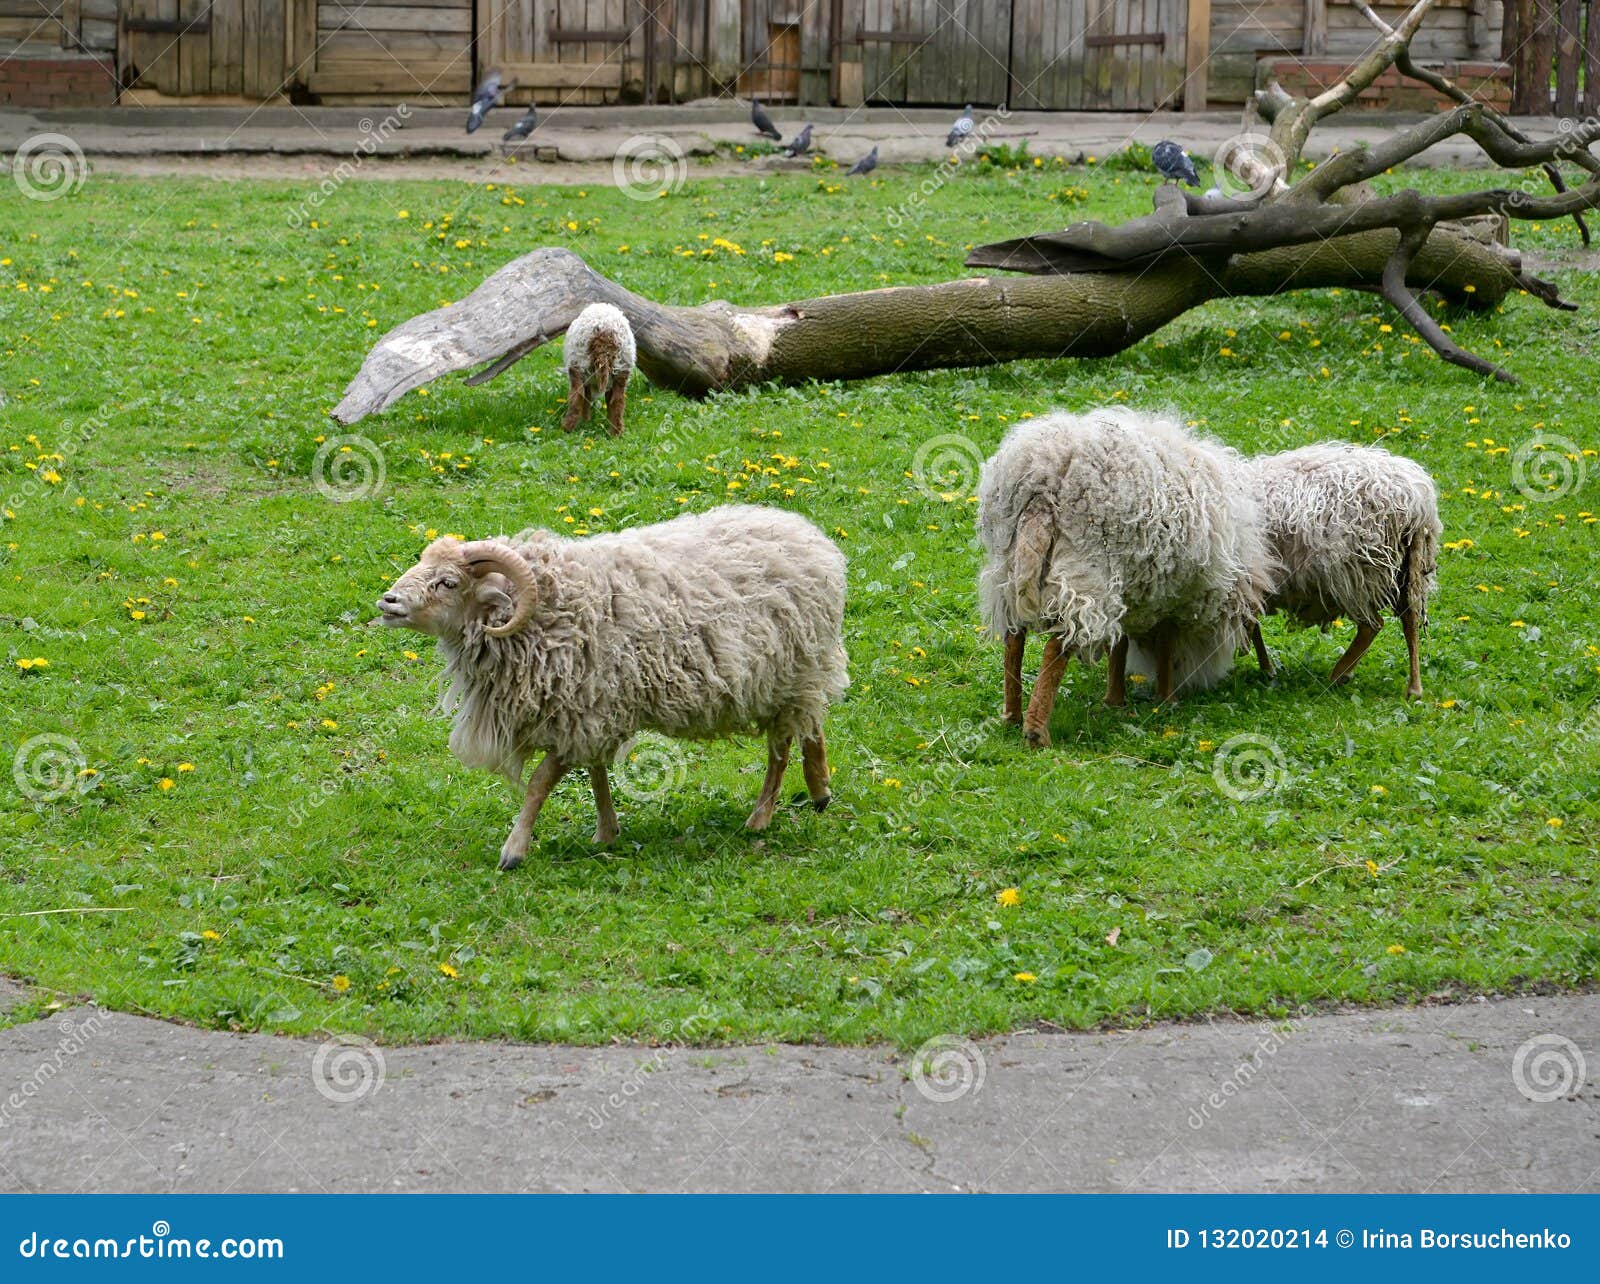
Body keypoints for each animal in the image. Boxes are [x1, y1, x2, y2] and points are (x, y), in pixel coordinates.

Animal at [375, 505, 848, 867]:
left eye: (448, 582)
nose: (387, 602)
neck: (548, 610)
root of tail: (814, 539)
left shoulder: (584, 710)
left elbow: (541, 782)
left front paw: (514, 850)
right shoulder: (592, 710)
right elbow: (596, 772)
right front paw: (606, 831)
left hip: (789, 675)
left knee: (781, 748)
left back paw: (761, 817)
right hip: (798, 675)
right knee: (812, 725)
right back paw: (820, 790)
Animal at [561, 302, 636, 436]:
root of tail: (606, 331)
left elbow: (586, 397)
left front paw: (586, 421)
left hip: (578, 363)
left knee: (577, 395)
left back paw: (566, 429)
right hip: (622, 366)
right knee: (618, 400)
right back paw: (616, 433)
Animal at [976, 407, 1275, 746]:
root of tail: (1042, 482)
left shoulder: (1136, 586)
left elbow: (1121, 642)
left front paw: (1115, 698)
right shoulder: (1174, 592)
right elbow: (1166, 640)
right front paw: (1165, 697)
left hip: (1007, 567)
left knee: (1014, 638)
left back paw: (1012, 715)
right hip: (1086, 569)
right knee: (1058, 644)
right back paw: (1037, 731)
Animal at [1244, 442, 1441, 698]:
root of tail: (1416, 501)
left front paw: (1262, 665)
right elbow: (1254, 625)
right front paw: (1265, 667)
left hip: (1355, 575)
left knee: (1372, 625)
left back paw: (1338, 675)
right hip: (1408, 570)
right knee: (1410, 619)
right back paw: (1414, 688)